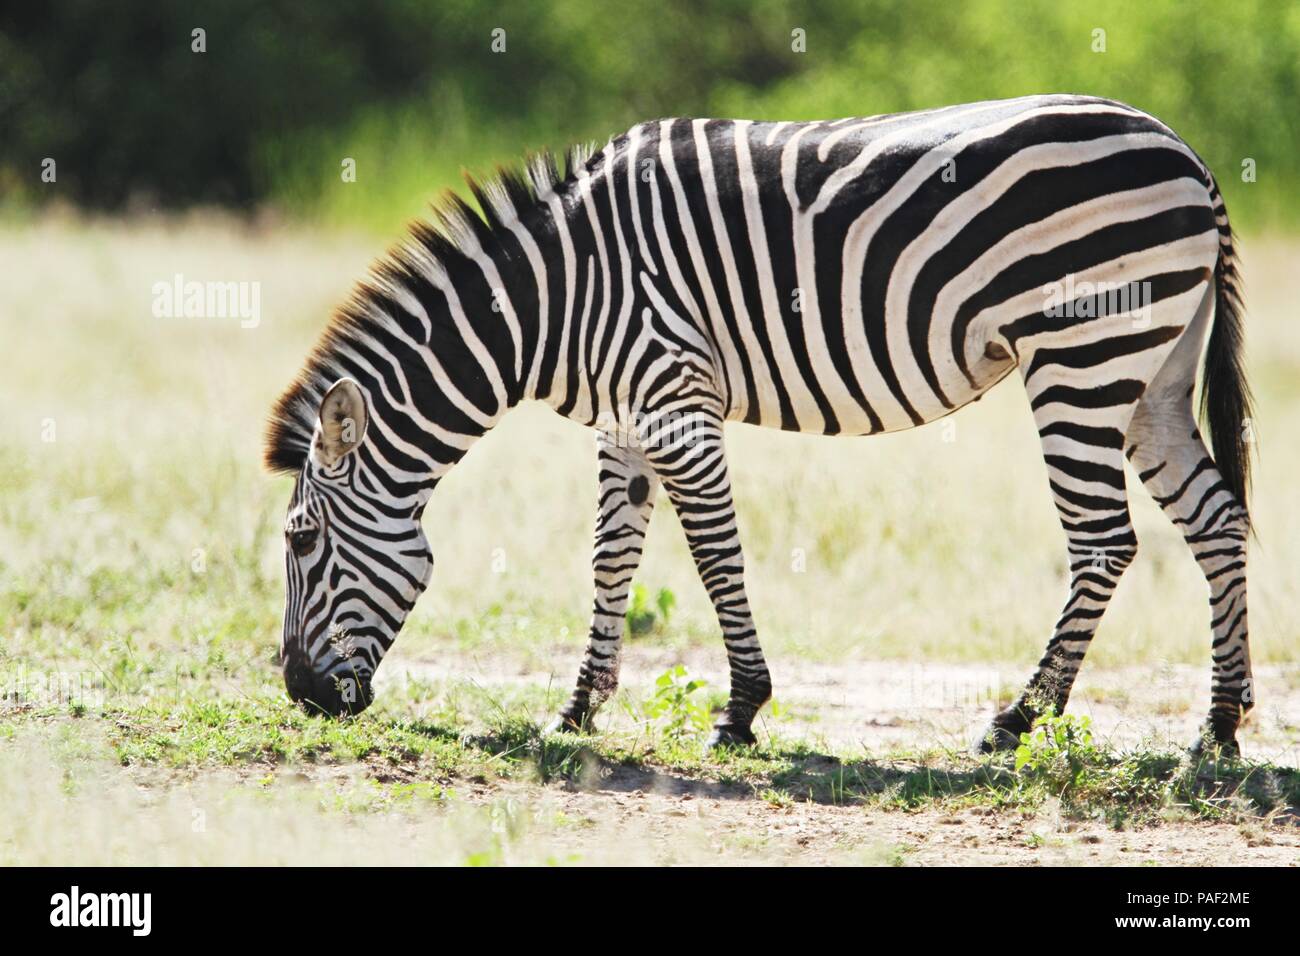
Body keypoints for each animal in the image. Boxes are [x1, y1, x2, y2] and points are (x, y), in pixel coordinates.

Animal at [265, 94, 1253, 754]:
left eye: (301, 541)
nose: (302, 694)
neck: (557, 299)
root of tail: (1192, 156)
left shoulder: (672, 397)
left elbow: (714, 554)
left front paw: (740, 710)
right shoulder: (626, 418)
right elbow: (612, 558)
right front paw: (579, 710)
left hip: (1082, 356)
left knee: (1104, 543)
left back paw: (1016, 721)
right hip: (1153, 377)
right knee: (1219, 523)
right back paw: (1218, 728)